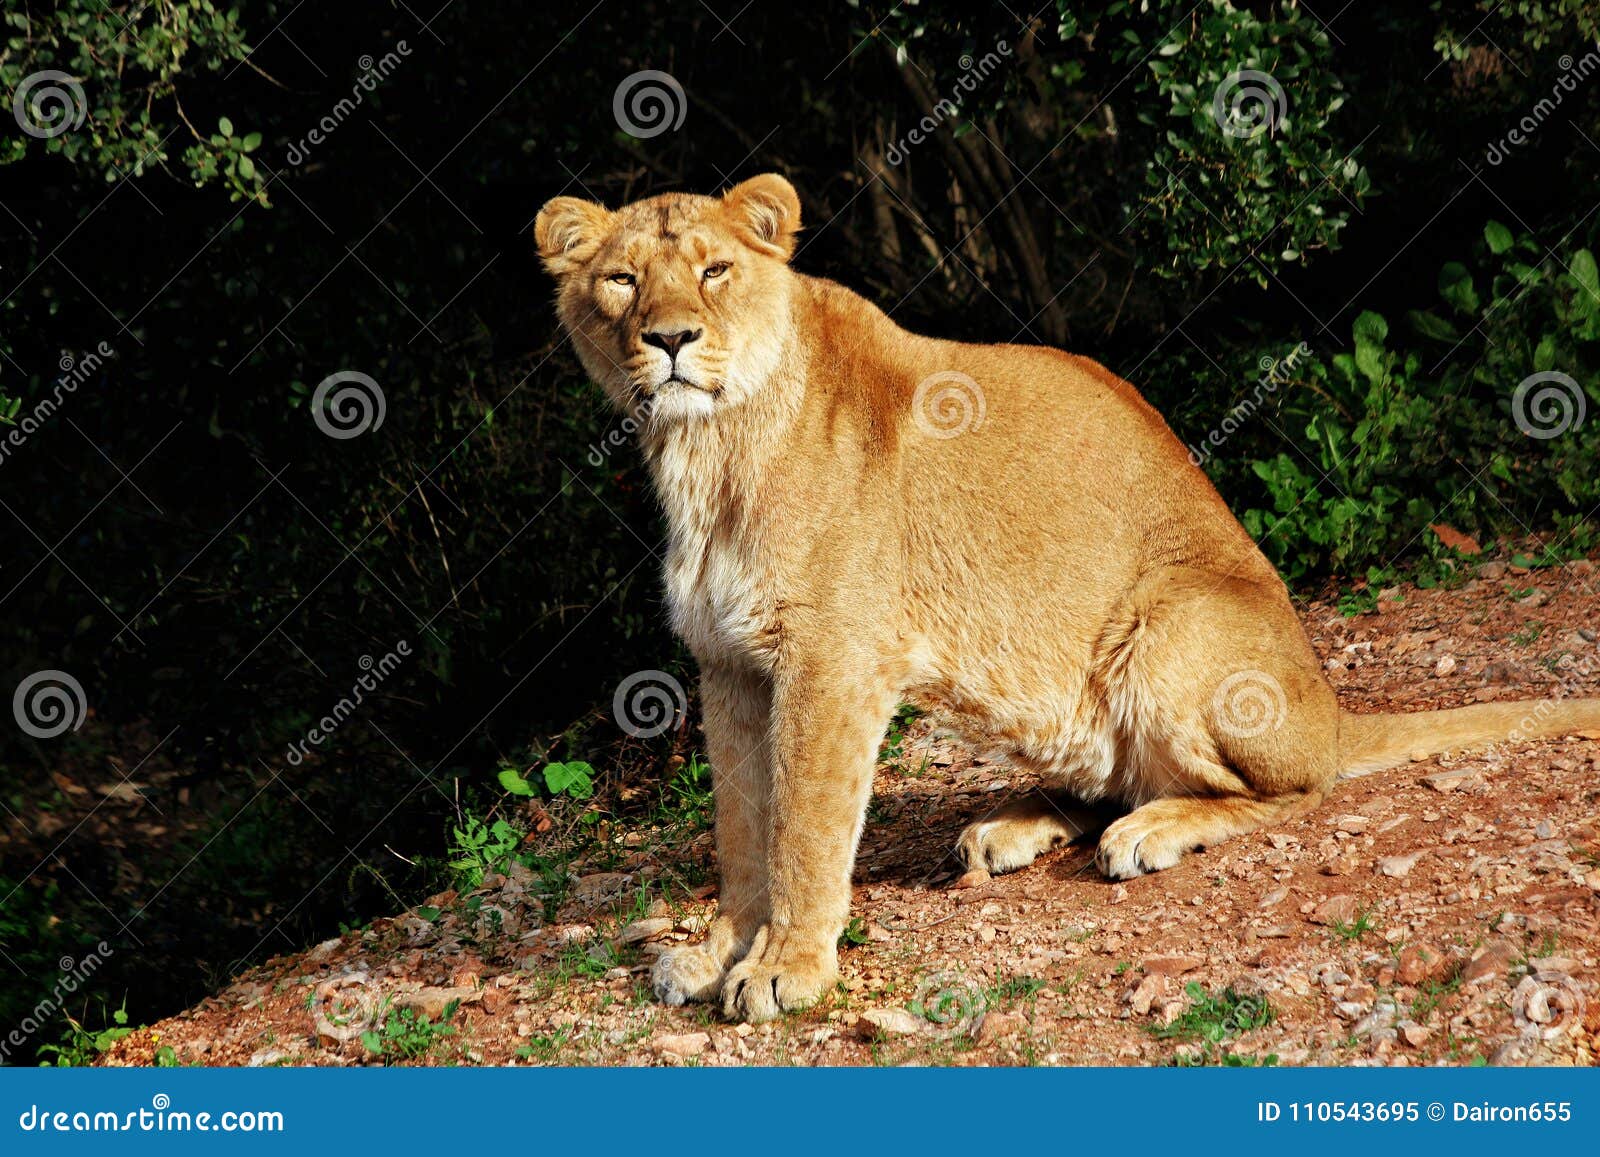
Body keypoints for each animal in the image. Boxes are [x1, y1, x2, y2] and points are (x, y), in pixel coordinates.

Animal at [535, 173, 1600, 1023]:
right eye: (622, 281)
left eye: (715, 270)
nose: (670, 338)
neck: (705, 451)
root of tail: (1334, 711)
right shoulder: (727, 664)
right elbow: (743, 826)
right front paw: (723, 947)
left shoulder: (832, 658)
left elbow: (803, 823)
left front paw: (784, 968)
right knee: (1114, 776)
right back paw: (1009, 828)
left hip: (1167, 622)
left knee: (1290, 788)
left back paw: (1152, 832)